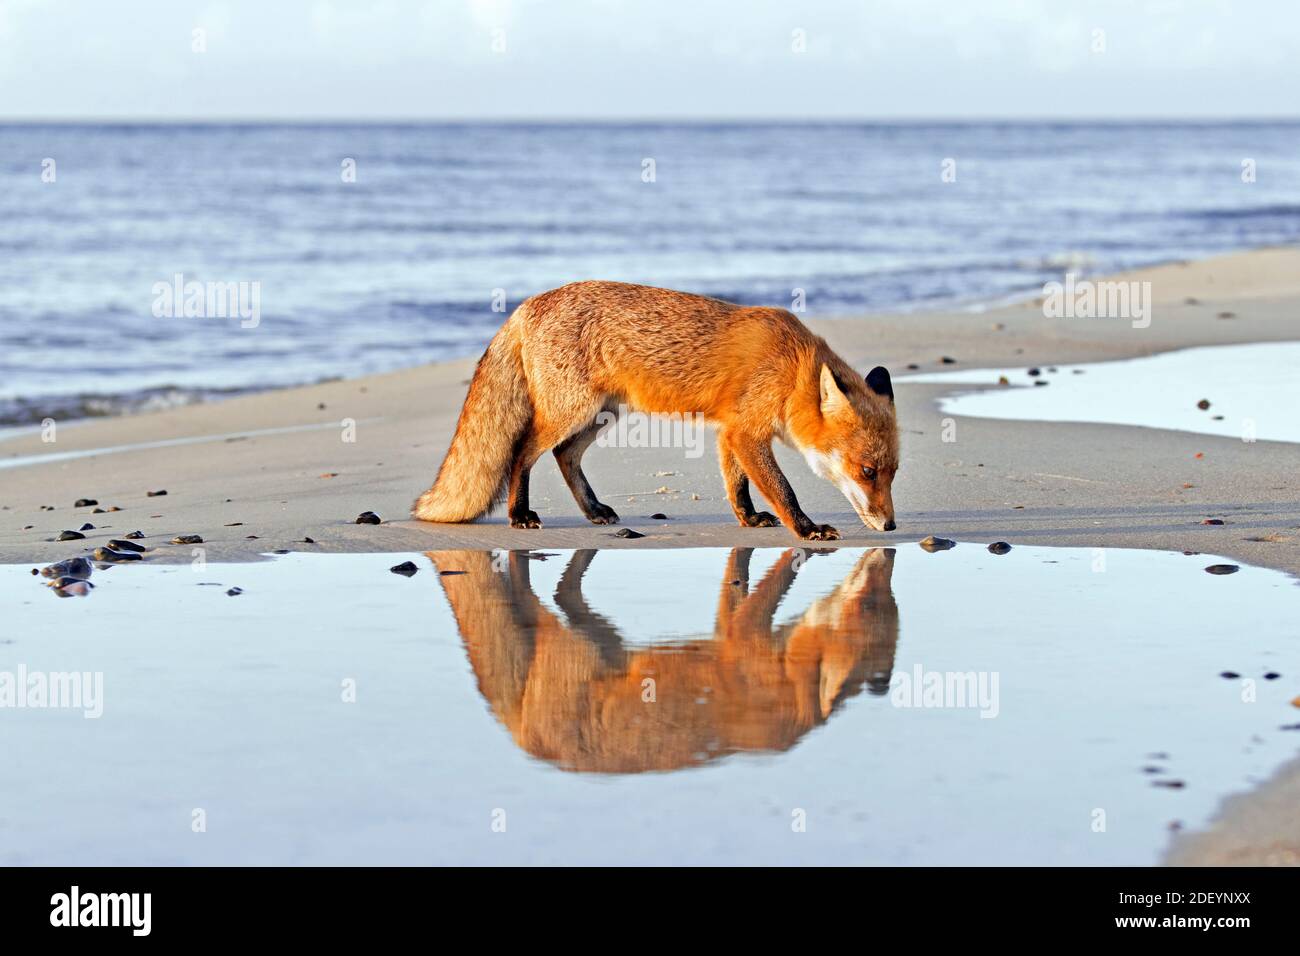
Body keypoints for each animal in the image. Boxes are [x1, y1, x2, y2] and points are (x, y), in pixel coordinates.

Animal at [412, 281, 899, 540]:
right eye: (867, 471)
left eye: (892, 474)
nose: (892, 526)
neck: (792, 367)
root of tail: (528, 305)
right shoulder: (747, 432)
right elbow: (782, 488)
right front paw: (805, 527)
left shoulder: (731, 430)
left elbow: (737, 484)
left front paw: (747, 518)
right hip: (571, 411)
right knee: (522, 451)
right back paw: (519, 515)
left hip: (600, 415)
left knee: (565, 455)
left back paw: (593, 511)